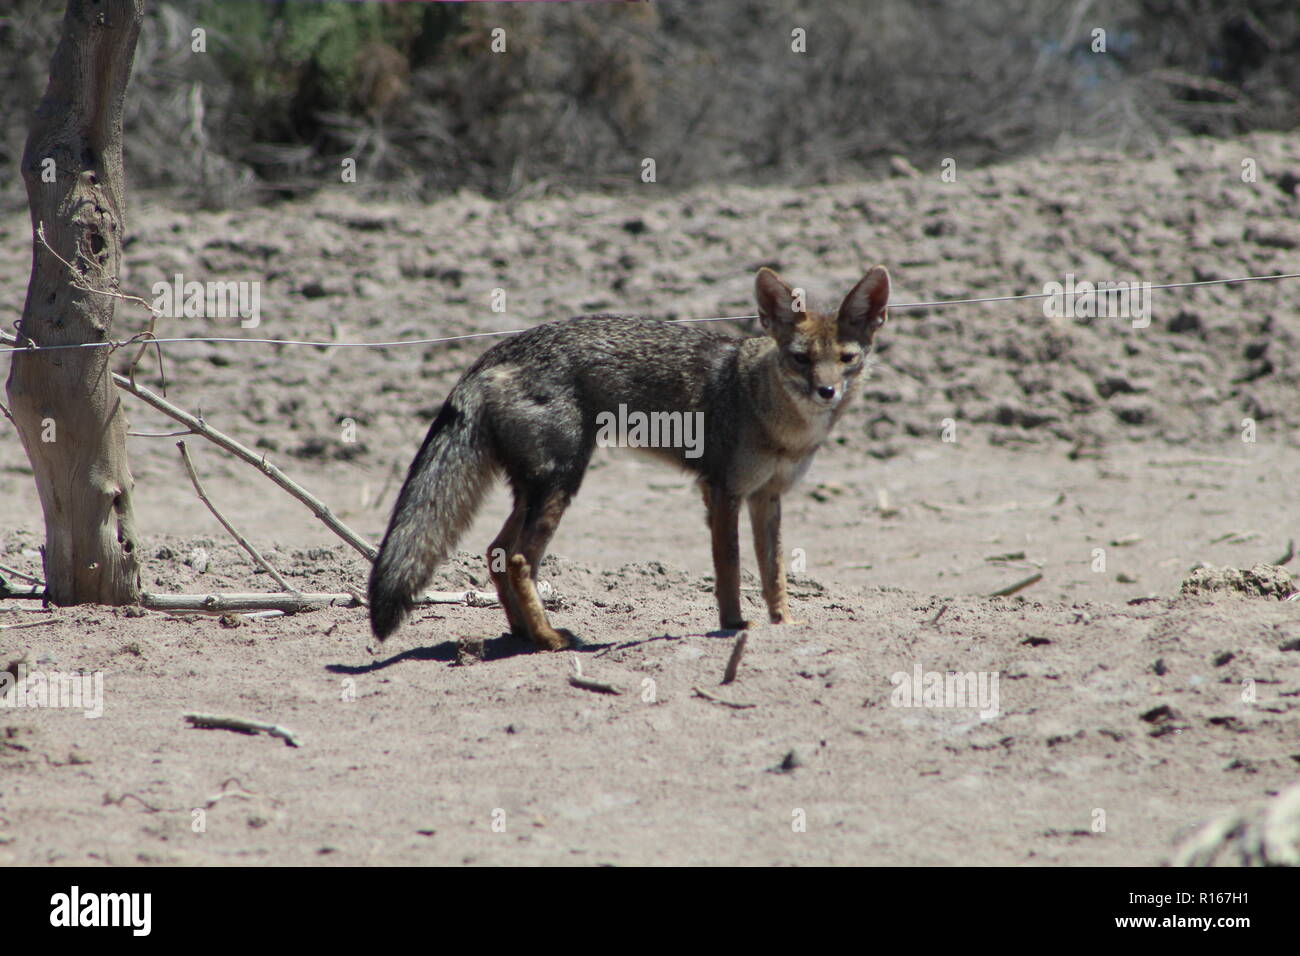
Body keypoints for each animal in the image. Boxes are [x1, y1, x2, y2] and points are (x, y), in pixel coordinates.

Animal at [368, 265, 891, 650]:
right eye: (801, 359)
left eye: (846, 359)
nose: (826, 392)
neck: (775, 419)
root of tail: (498, 350)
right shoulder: (722, 490)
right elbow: (729, 565)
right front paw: (734, 624)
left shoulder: (769, 497)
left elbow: (773, 569)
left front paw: (783, 622)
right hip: (562, 484)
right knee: (517, 559)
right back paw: (549, 639)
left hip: (538, 488)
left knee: (497, 553)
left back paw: (521, 632)